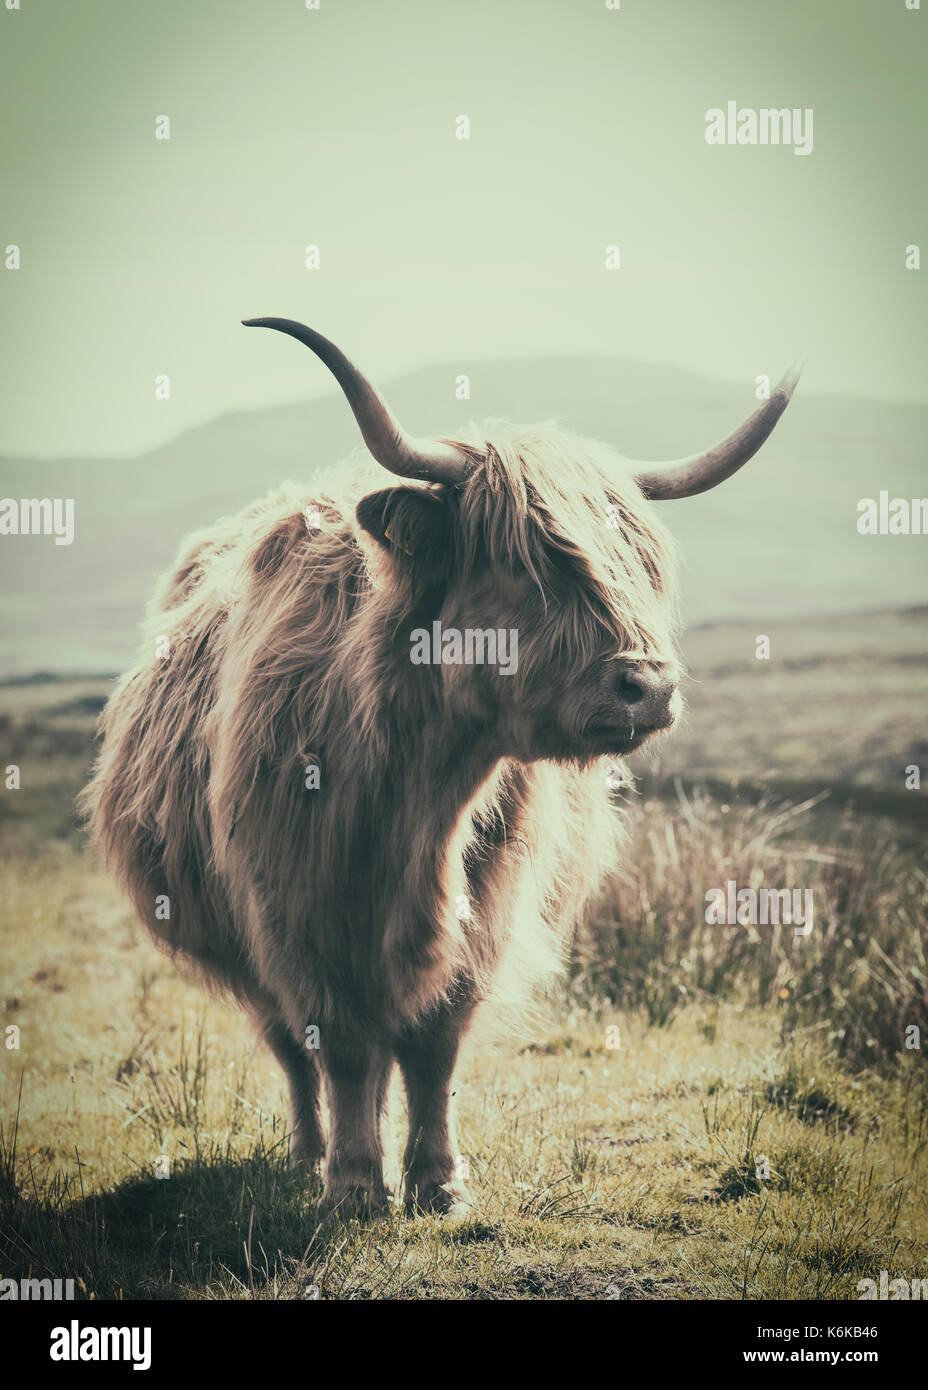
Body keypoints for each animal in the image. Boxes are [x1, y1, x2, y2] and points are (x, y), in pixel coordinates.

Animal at [80, 319, 799, 1218]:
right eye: (527, 560)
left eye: (640, 563)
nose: (651, 685)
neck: (421, 792)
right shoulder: (296, 911)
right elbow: (343, 1044)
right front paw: (354, 1186)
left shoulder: (485, 909)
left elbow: (434, 1044)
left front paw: (437, 1183)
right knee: (290, 1046)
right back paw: (308, 1154)